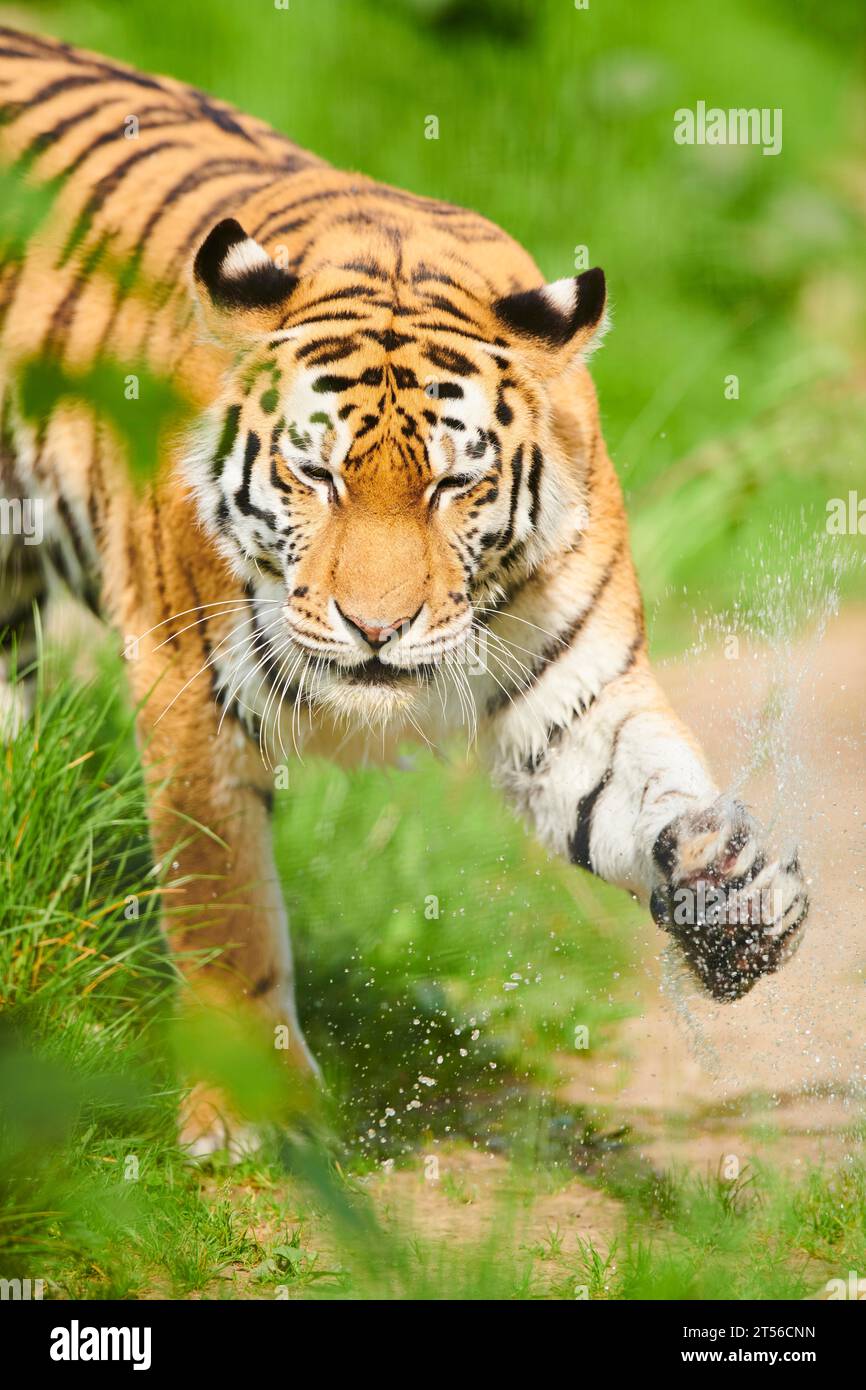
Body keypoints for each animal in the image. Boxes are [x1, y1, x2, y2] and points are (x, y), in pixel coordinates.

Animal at [0, 27, 809, 1156]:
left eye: (452, 484)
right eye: (315, 473)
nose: (374, 628)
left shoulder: (579, 703)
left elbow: (652, 791)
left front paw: (740, 897)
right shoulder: (188, 689)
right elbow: (224, 907)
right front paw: (250, 1116)